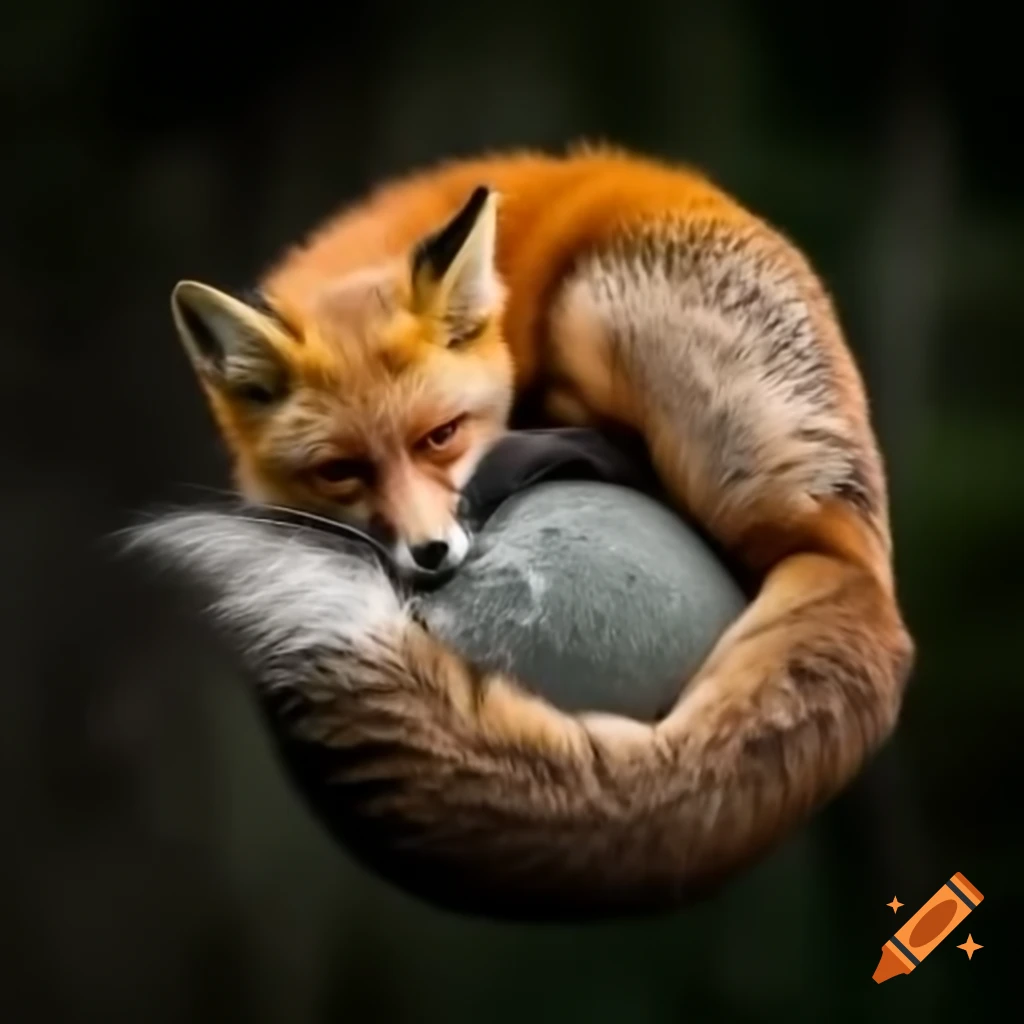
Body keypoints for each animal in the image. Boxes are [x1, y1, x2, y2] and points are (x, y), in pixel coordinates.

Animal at [149, 143, 914, 917]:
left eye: (441, 436)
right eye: (341, 471)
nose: (431, 553)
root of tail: (852, 537)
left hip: (588, 311)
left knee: (625, 453)